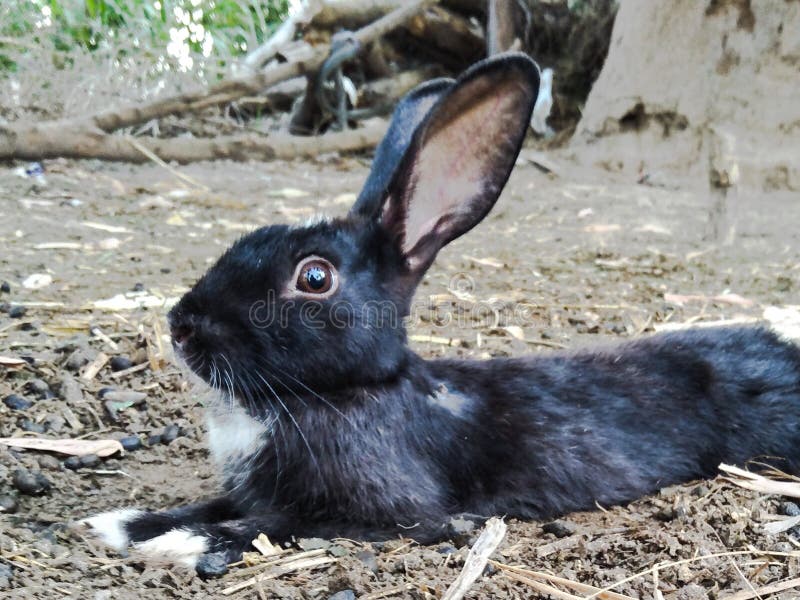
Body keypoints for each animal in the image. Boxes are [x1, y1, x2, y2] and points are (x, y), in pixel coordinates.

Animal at [81, 53, 800, 576]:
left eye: (314, 277)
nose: (181, 326)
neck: (349, 389)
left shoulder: (391, 513)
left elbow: (273, 525)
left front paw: (176, 544)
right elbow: (213, 502)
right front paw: (121, 523)